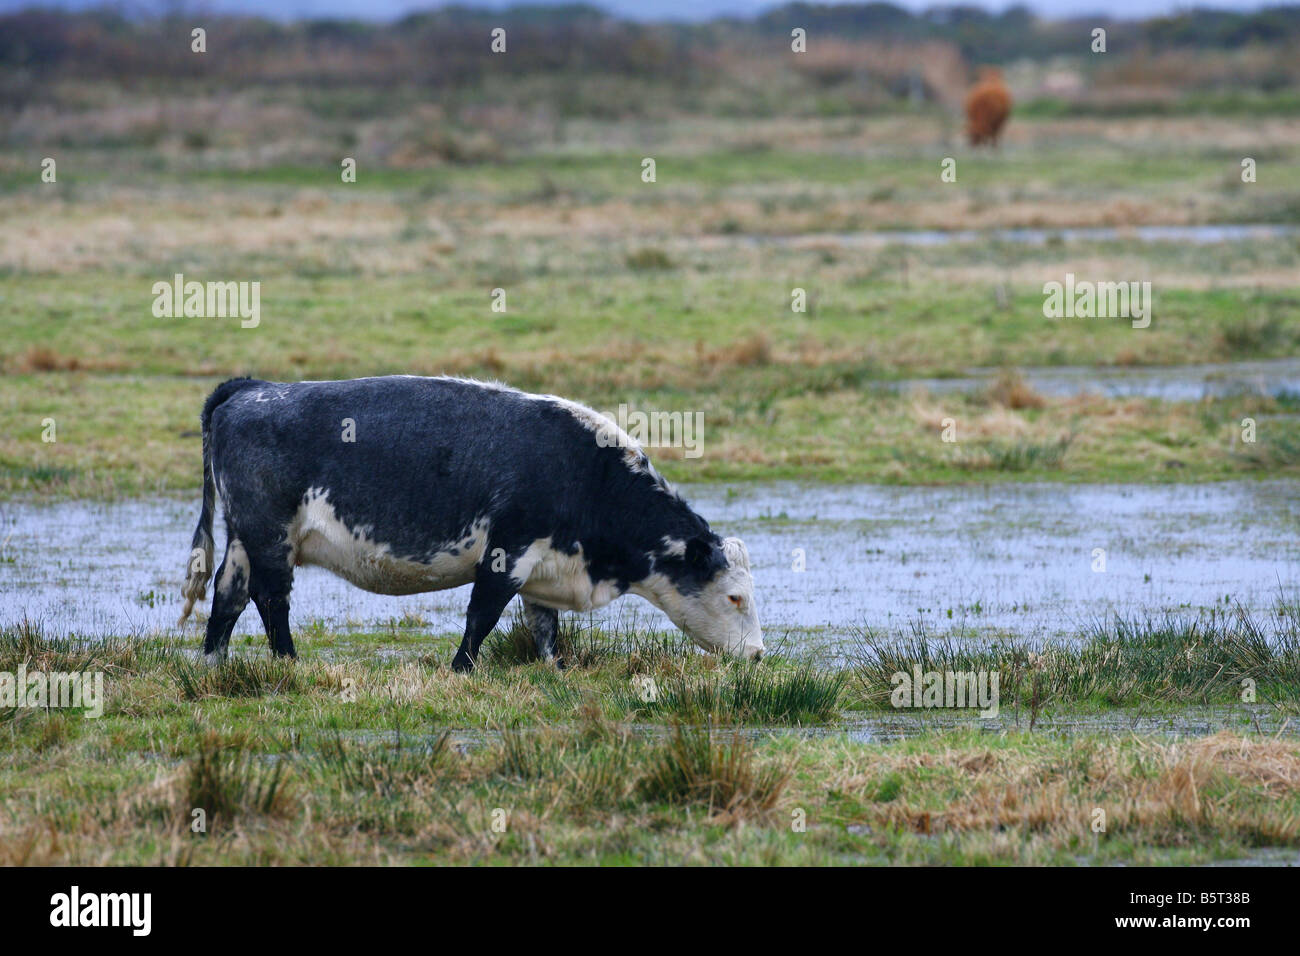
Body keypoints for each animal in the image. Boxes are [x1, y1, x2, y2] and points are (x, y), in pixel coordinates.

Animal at [177, 376, 763, 671]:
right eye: (734, 596)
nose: (758, 654)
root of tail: (252, 389)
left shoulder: (546, 567)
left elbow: (544, 626)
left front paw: (554, 669)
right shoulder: (509, 550)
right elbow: (482, 614)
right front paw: (462, 668)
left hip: (244, 539)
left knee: (228, 596)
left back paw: (213, 663)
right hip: (271, 536)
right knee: (271, 598)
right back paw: (289, 662)